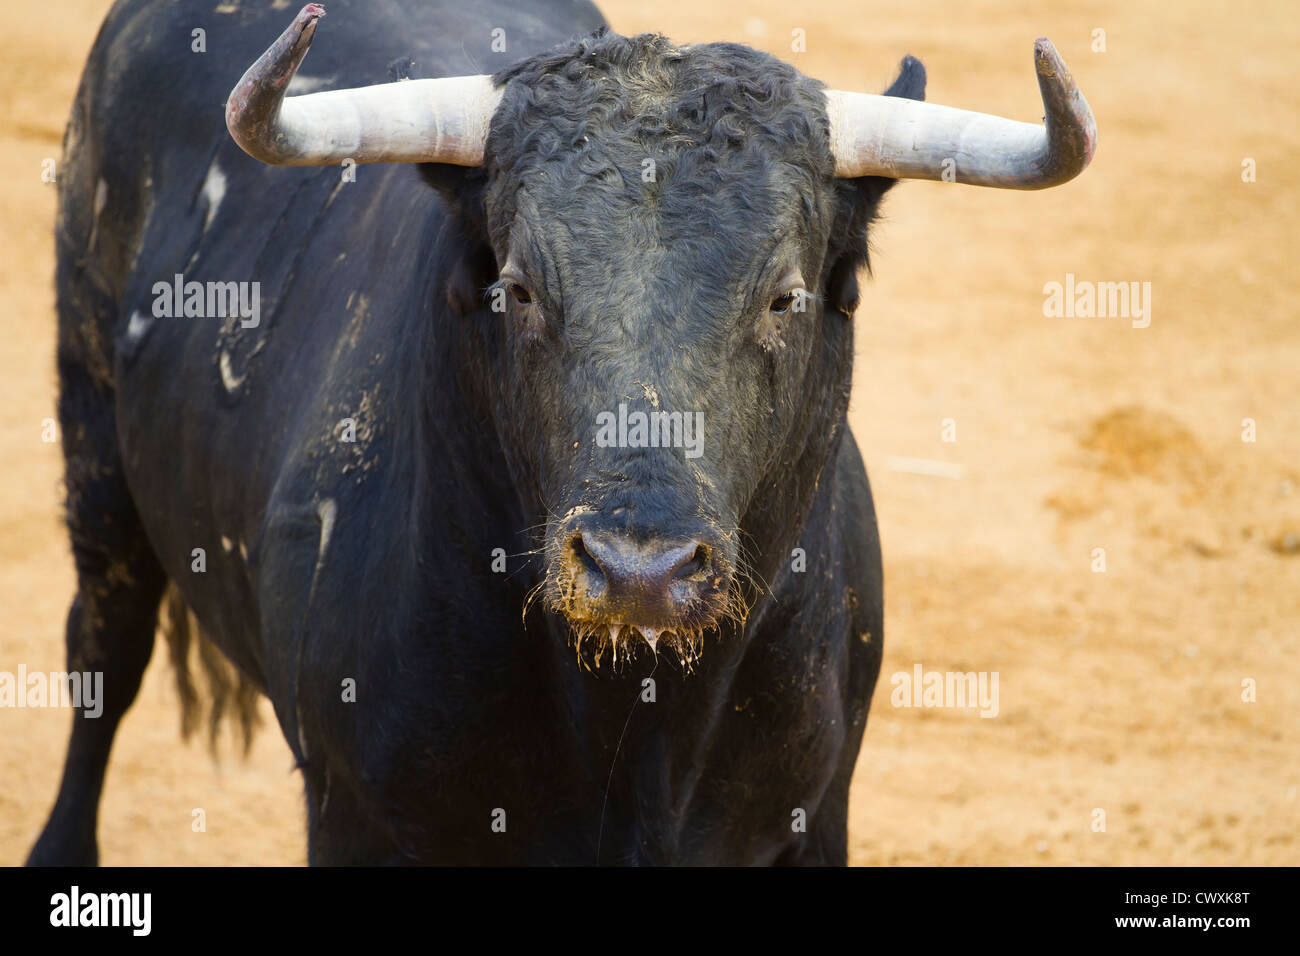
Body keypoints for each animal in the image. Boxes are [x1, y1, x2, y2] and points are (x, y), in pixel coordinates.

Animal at [28, 0, 1094, 865]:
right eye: (522, 287)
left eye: (785, 296)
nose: (639, 571)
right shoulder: (351, 815)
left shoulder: (817, 814)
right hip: (92, 442)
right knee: (105, 648)